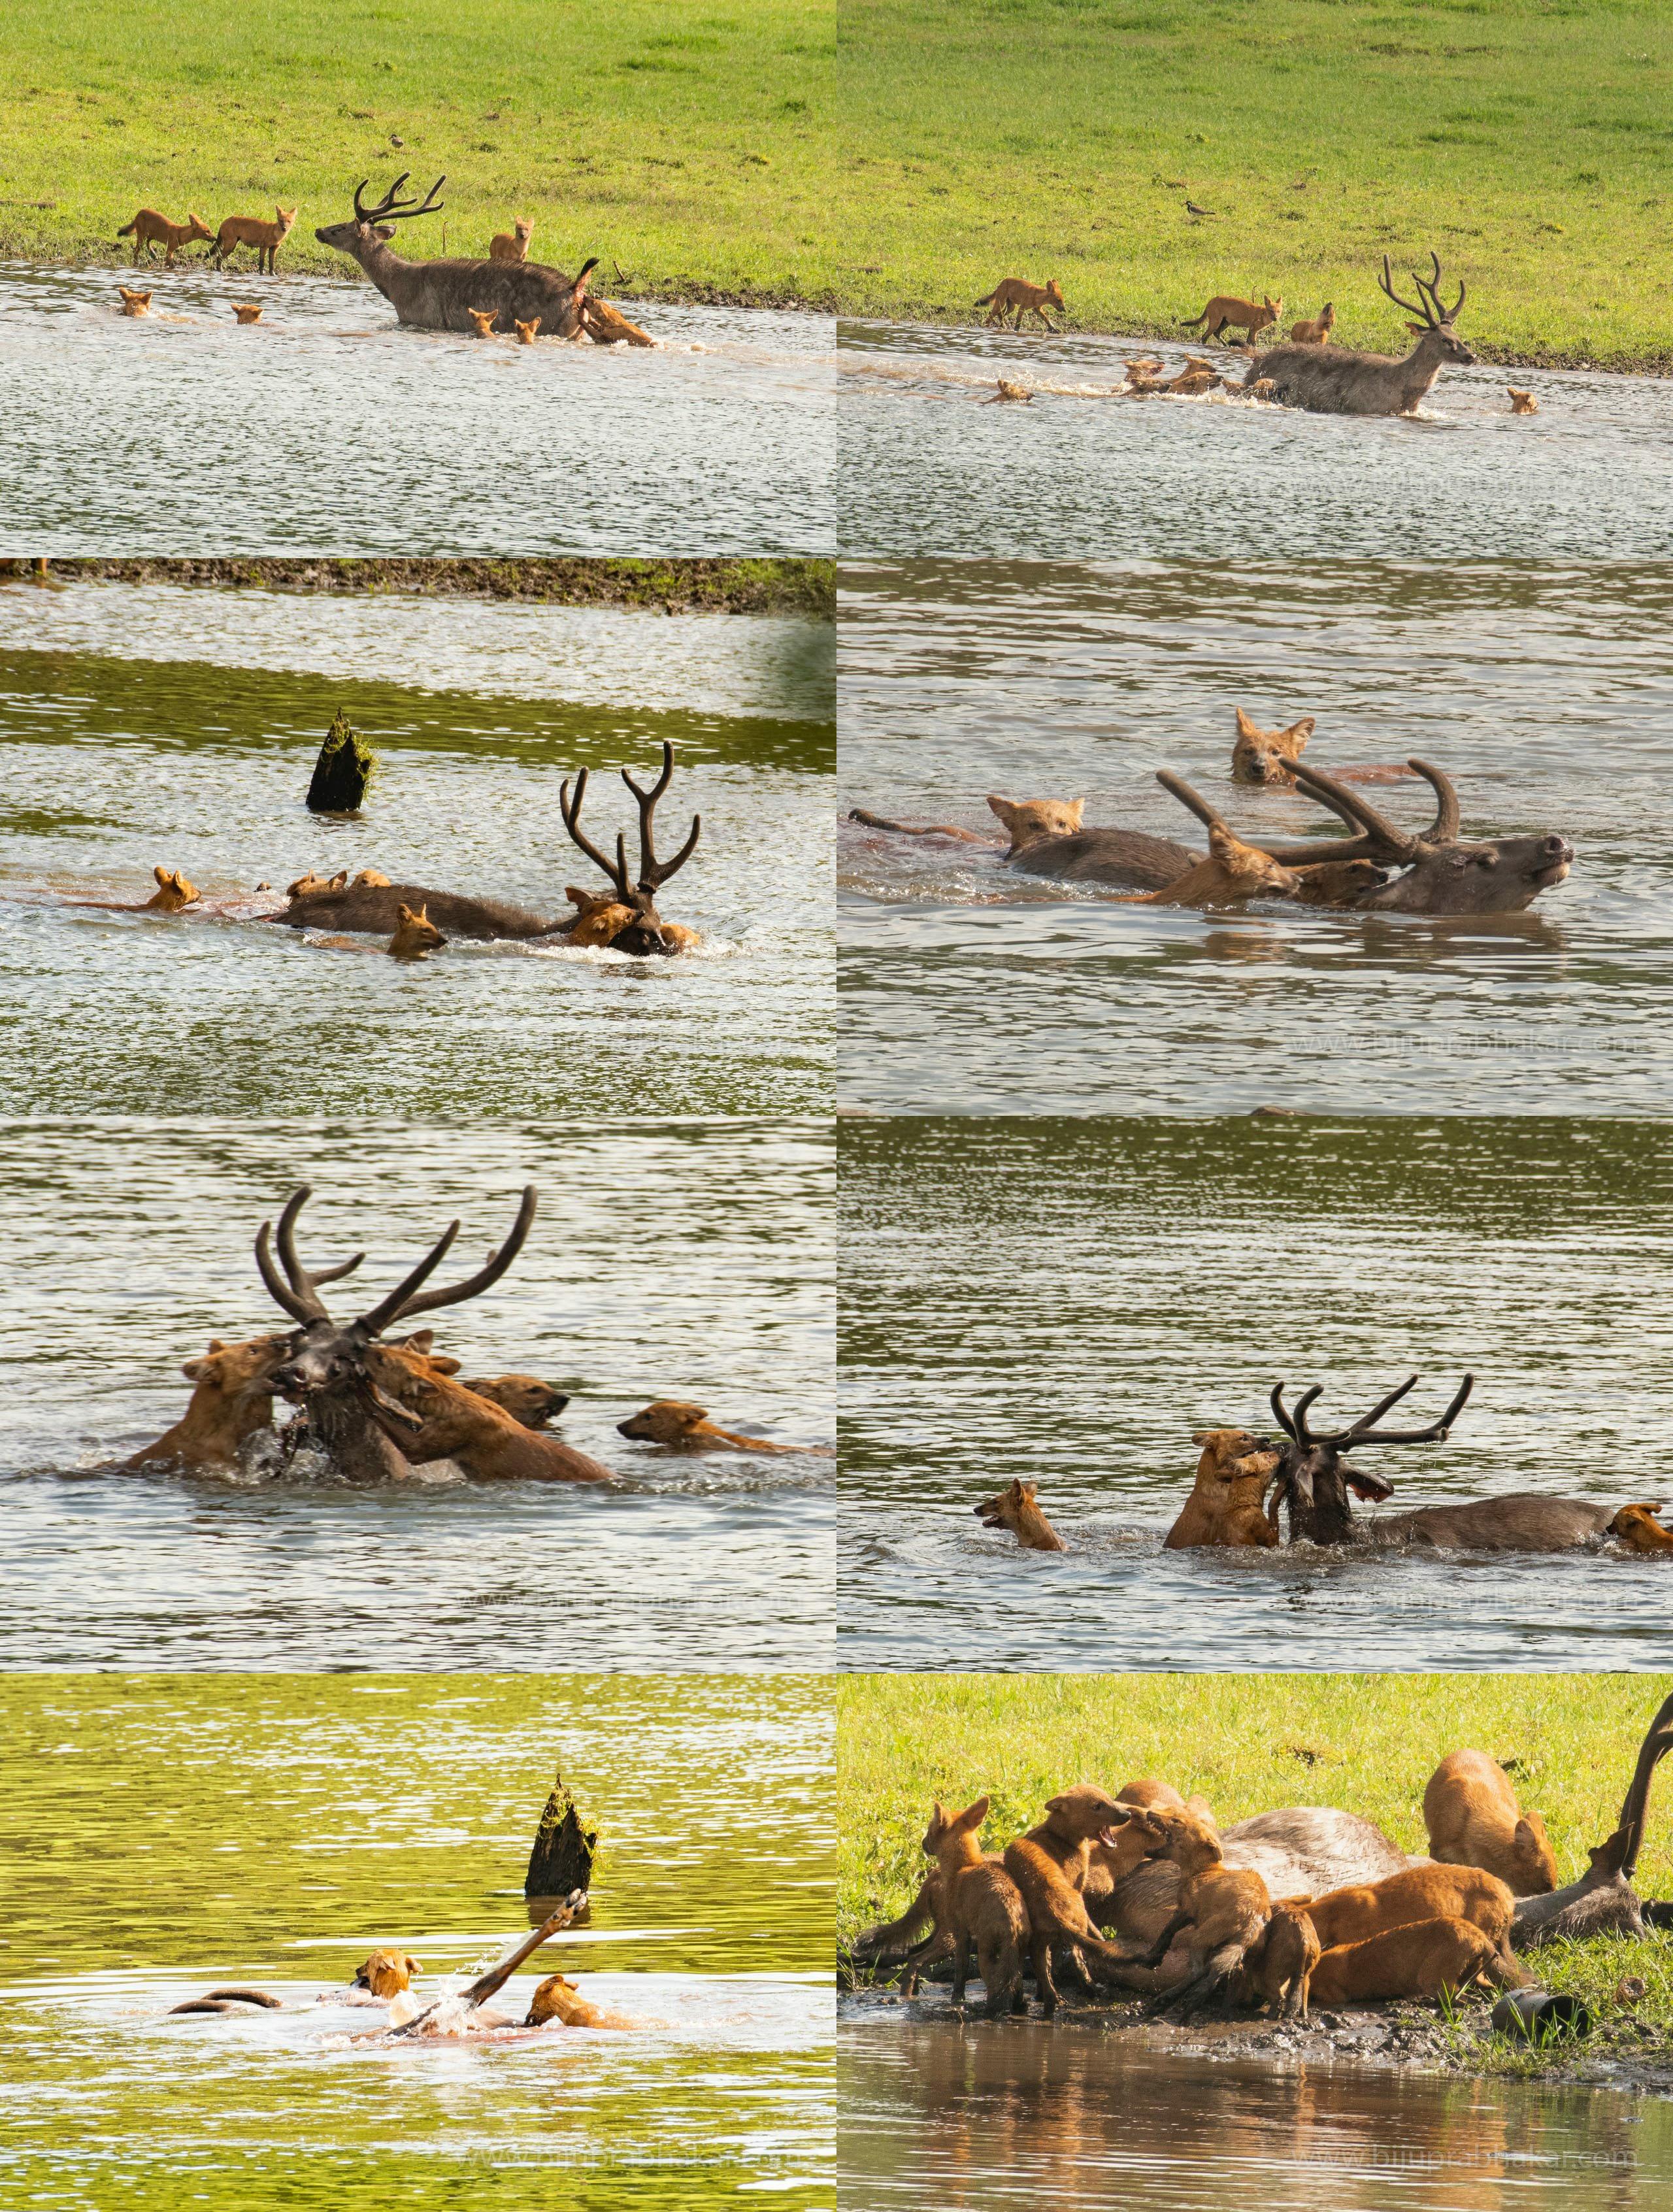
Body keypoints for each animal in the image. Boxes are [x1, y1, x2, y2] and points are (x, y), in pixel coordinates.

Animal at [314, 175, 598, 338]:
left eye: (341, 228)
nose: (318, 230)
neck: (398, 288)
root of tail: (575, 290)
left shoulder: (423, 317)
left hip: (552, 325)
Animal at [1242, 252, 1475, 415]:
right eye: (1444, 339)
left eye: (1458, 336)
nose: (1471, 356)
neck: (1403, 391)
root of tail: (1255, 365)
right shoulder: (1367, 406)